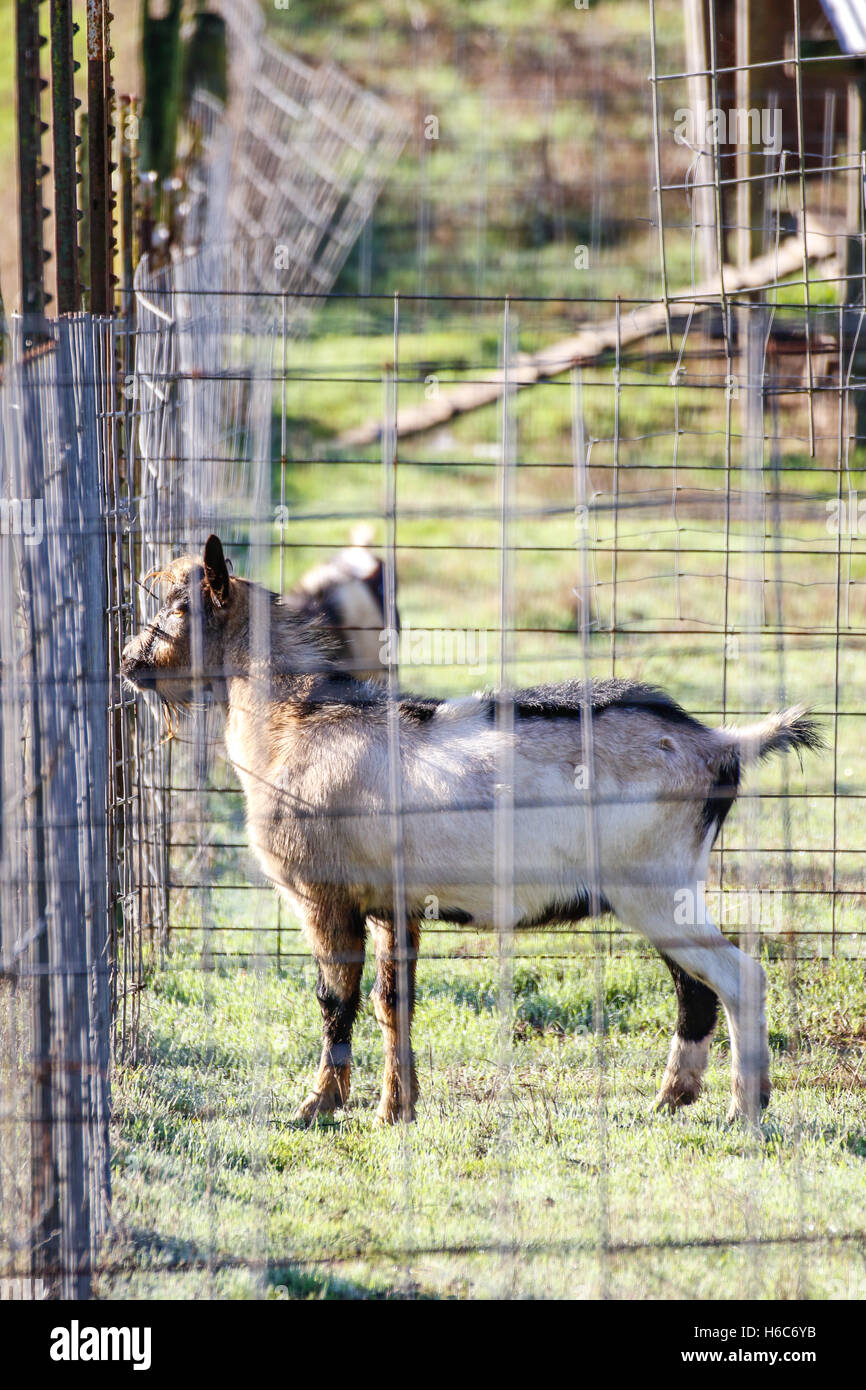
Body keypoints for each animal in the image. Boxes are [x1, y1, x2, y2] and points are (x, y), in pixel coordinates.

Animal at [121, 536, 822, 1125]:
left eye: (181, 606)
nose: (129, 660)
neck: (295, 721)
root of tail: (720, 745)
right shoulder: (394, 906)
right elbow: (393, 1002)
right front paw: (396, 1109)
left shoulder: (324, 897)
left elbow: (335, 1001)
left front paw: (317, 1108)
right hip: (664, 893)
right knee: (695, 988)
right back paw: (672, 1099)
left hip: (652, 888)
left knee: (739, 976)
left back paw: (744, 1111)